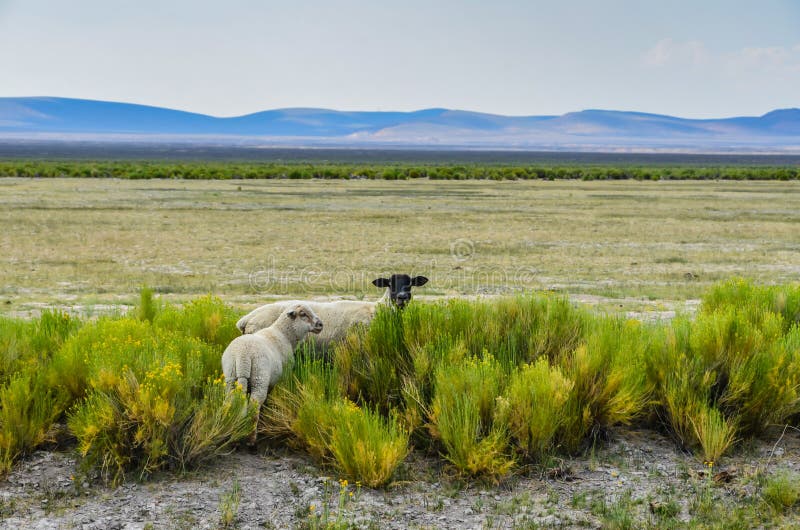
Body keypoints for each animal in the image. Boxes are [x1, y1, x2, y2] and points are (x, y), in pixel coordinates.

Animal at [222, 303, 323, 442]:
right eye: (303, 314)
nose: (320, 324)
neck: (284, 335)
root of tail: (242, 355)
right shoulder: (284, 374)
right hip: (259, 377)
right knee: (254, 404)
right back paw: (251, 438)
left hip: (231, 376)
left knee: (229, 400)